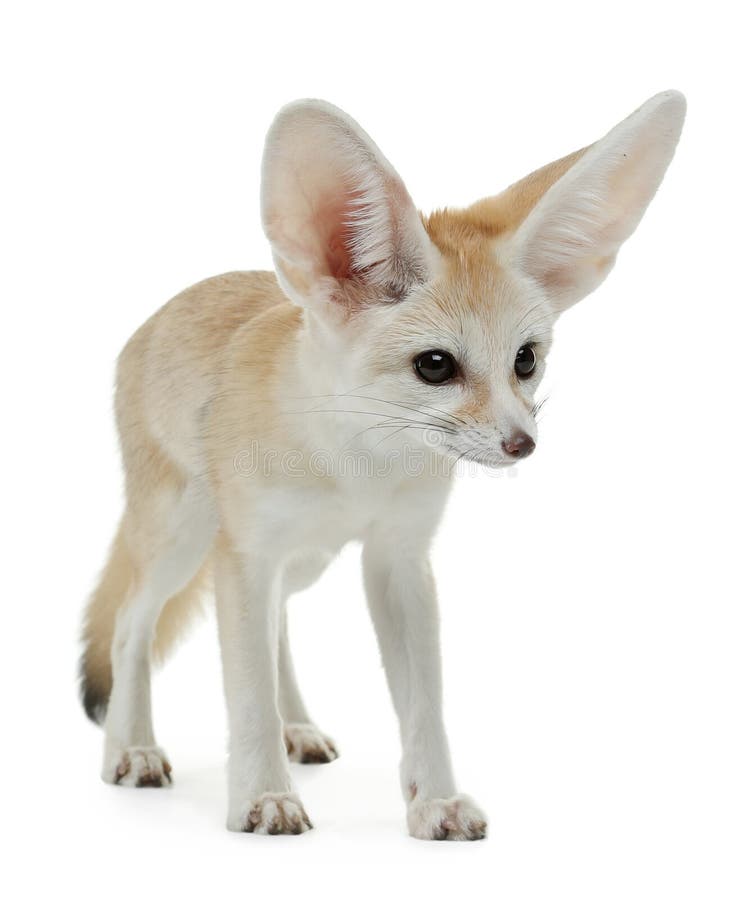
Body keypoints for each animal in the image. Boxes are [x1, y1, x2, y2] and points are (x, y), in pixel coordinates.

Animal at [80, 91, 685, 839]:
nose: (522, 445)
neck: (355, 471)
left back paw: (298, 728)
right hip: (182, 541)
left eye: (525, 359)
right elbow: (245, 694)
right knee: (131, 624)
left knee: (277, 625)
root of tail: (158, 314)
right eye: (436, 365)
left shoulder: (398, 559)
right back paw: (131, 747)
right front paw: (261, 795)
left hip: (300, 562)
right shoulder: (245, 555)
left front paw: (435, 800)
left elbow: (423, 704)